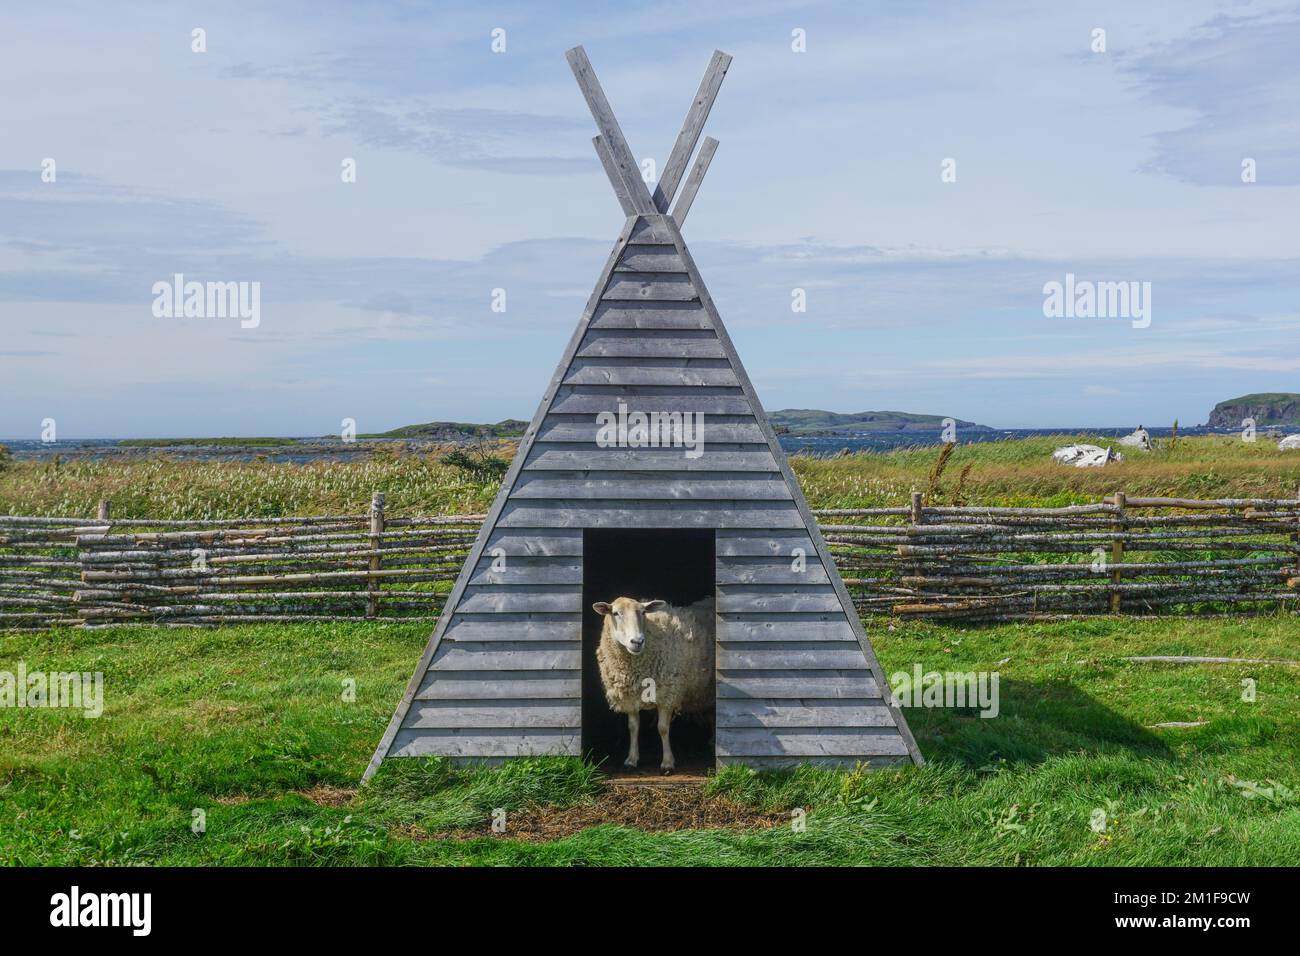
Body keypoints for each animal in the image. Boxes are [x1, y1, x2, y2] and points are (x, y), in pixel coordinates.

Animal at [592, 595, 715, 773]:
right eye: (615, 613)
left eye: (643, 612)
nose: (637, 641)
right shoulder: (630, 697)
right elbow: (633, 727)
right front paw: (631, 759)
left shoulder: (667, 695)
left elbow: (662, 728)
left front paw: (667, 763)